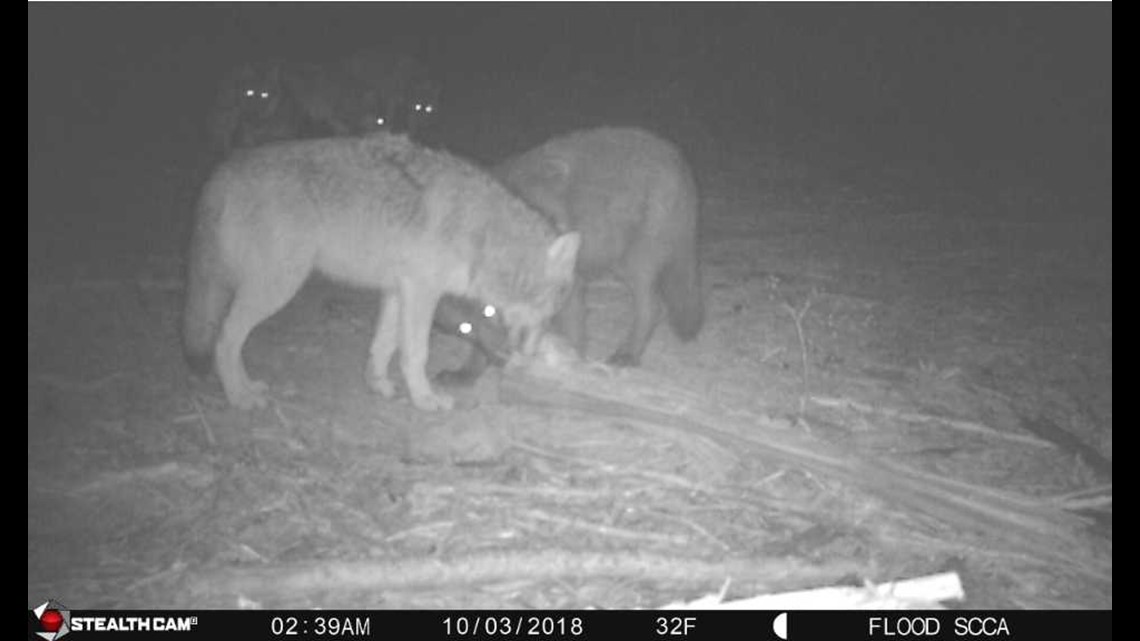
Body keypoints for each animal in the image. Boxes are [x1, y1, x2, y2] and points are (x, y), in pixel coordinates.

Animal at [182, 133, 580, 411]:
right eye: (549, 311)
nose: (529, 352)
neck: (482, 235)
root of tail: (223, 171)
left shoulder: (397, 290)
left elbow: (383, 346)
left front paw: (379, 386)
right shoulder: (422, 291)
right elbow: (415, 352)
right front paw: (425, 400)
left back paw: (247, 389)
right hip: (277, 287)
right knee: (225, 340)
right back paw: (240, 397)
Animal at [435, 127, 703, 381]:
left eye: (492, 313)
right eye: (464, 329)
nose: (502, 358)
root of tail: (675, 156)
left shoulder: (568, 286)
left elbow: (572, 337)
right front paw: (467, 373)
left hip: (634, 265)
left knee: (652, 307)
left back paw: (627, 354)